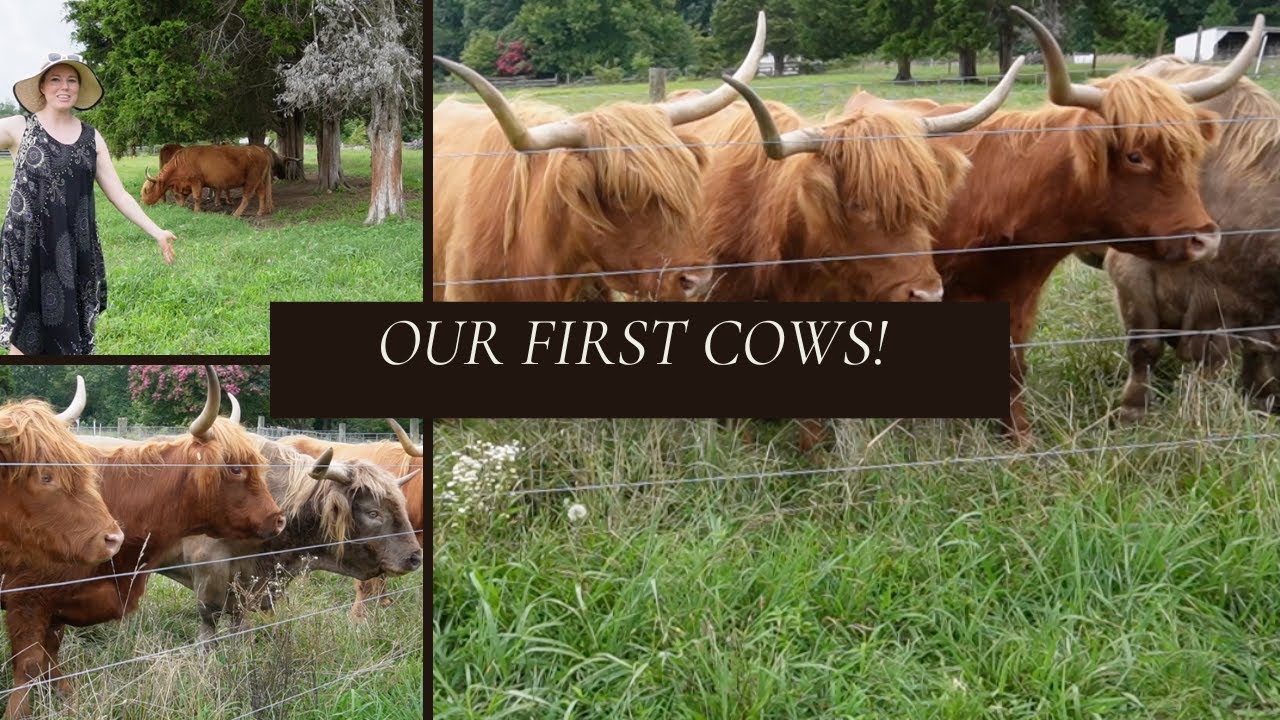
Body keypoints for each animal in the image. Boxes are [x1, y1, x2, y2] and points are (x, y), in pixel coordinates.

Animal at [141, 144, 273, 217]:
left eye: (146, 190)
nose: (142, 202)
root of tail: (259, 149)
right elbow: (181, 197)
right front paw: (181, 207)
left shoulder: (196, 182)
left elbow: (196, 197)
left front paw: (196, 211)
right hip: (259, 181)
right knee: (262, 193)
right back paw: (260, 212)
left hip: (252, 180)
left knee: (246, 197)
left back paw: (236, 214)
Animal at [157, 440, 422, 644]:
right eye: (373, 512)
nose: (415, 557)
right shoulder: (209, 575)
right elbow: (208, 628)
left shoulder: (245, 584)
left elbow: (239, 625)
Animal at [1068, 56, 1280, 420]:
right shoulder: (1132, 275)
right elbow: (1145, 346)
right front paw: (1133, 410)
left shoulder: (1244, 307)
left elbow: (1251, 350)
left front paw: (1259, 401)